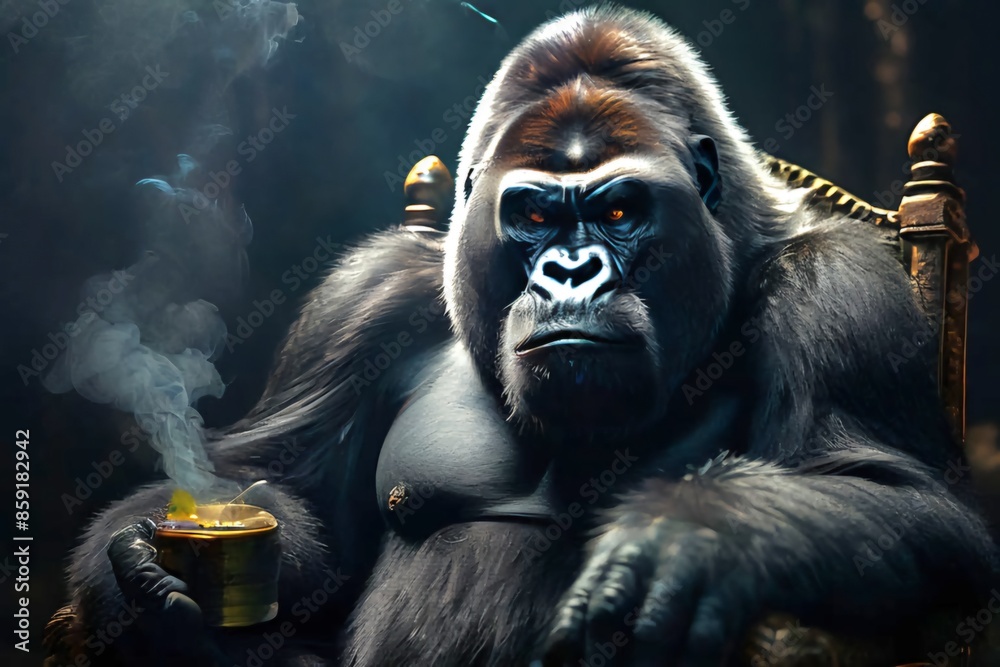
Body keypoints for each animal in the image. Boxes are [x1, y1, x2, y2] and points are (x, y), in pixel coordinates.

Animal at [48, 5, 998, 667]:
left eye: (618, 211)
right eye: (536, 216)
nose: (571, 273)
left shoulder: (840, 283)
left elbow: (906, 501)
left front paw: (697, 536)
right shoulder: (368, 296)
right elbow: (271, 480)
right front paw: (149, 579)